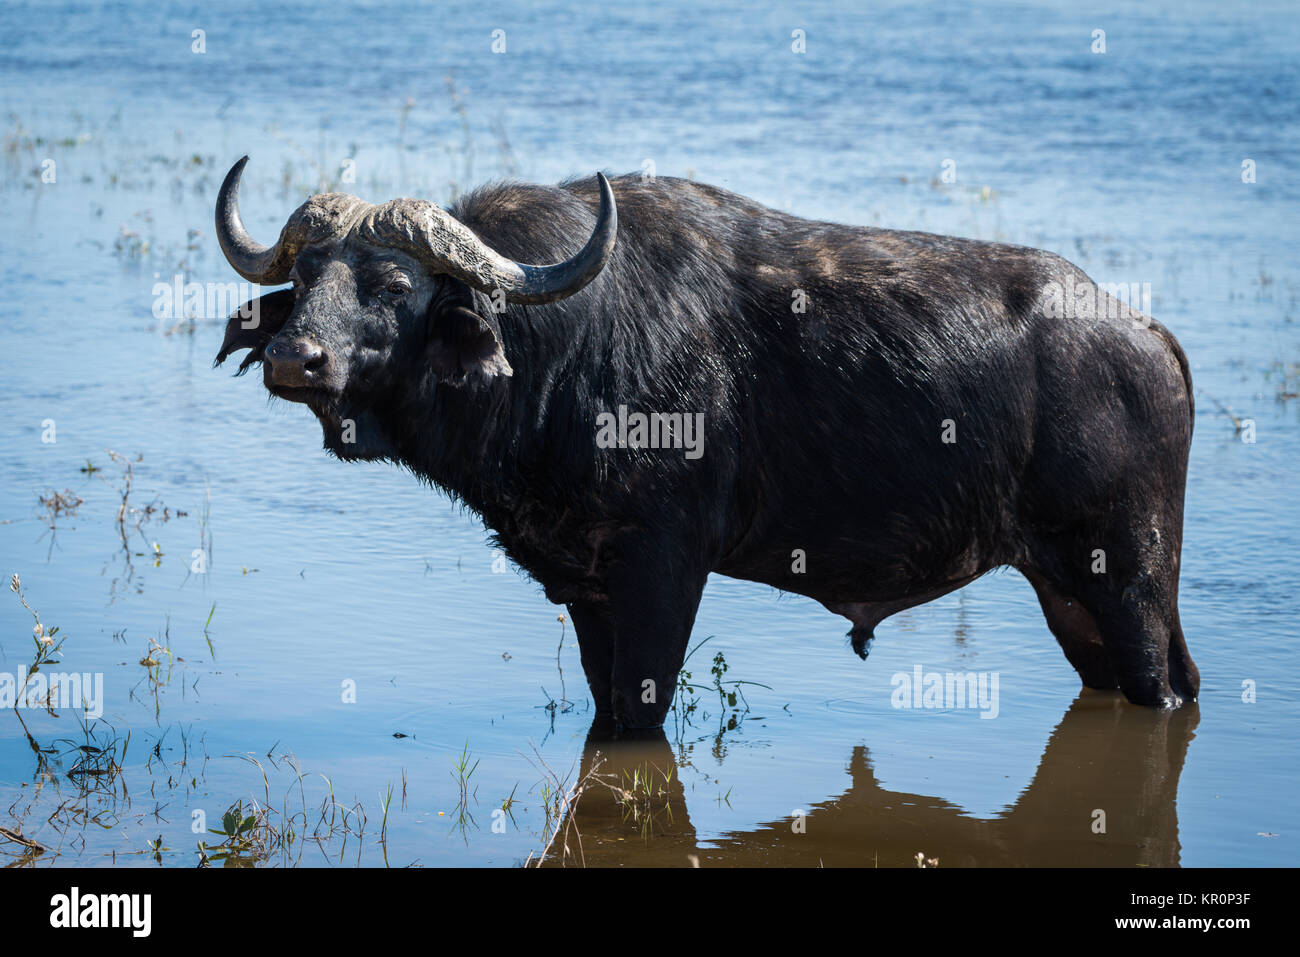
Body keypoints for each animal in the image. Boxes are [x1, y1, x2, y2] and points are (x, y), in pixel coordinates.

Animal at [214, 156, 1198, 731]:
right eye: (309, 274)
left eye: (390, 284)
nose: (294, 357)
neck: (566, 347)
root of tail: (1144, 332)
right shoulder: (589, 586)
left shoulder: (665, 565)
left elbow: (641, 707)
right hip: (1070, 595)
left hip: (1130, 577)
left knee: (1169, 681)